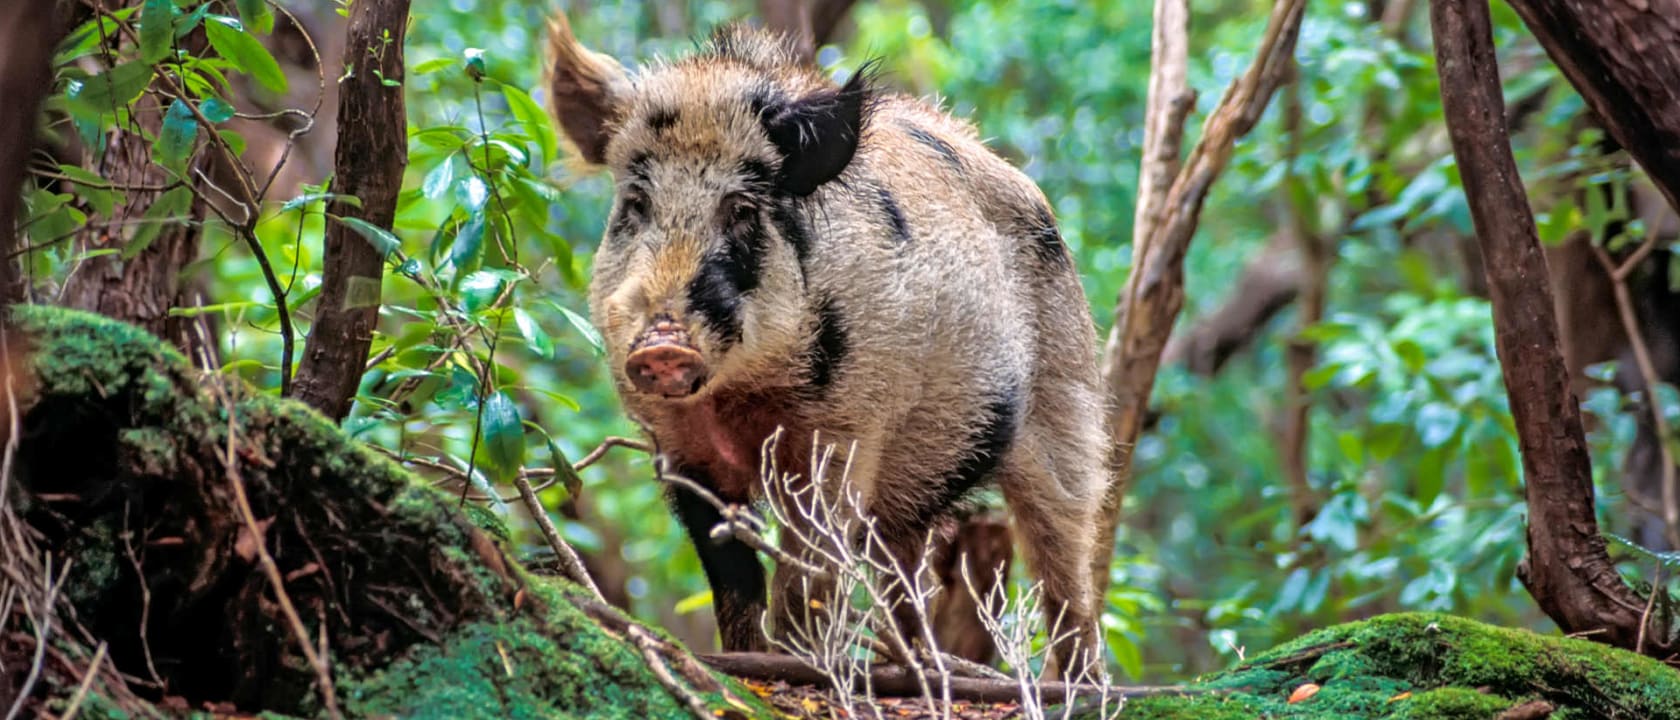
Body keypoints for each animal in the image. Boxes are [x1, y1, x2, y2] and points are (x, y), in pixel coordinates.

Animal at [545, 12, 1108, 677]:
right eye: (635, 203)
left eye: (742, 208)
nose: (663, 345)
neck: (739, 398)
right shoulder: (679, 450)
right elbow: (734, 579)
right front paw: (745, 662)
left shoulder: (844, 433)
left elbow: (805, 577)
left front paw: (798, 666)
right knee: (906, 569)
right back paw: (915, 668)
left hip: (1067, 394)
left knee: (1066, 548)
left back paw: (1072, 683)